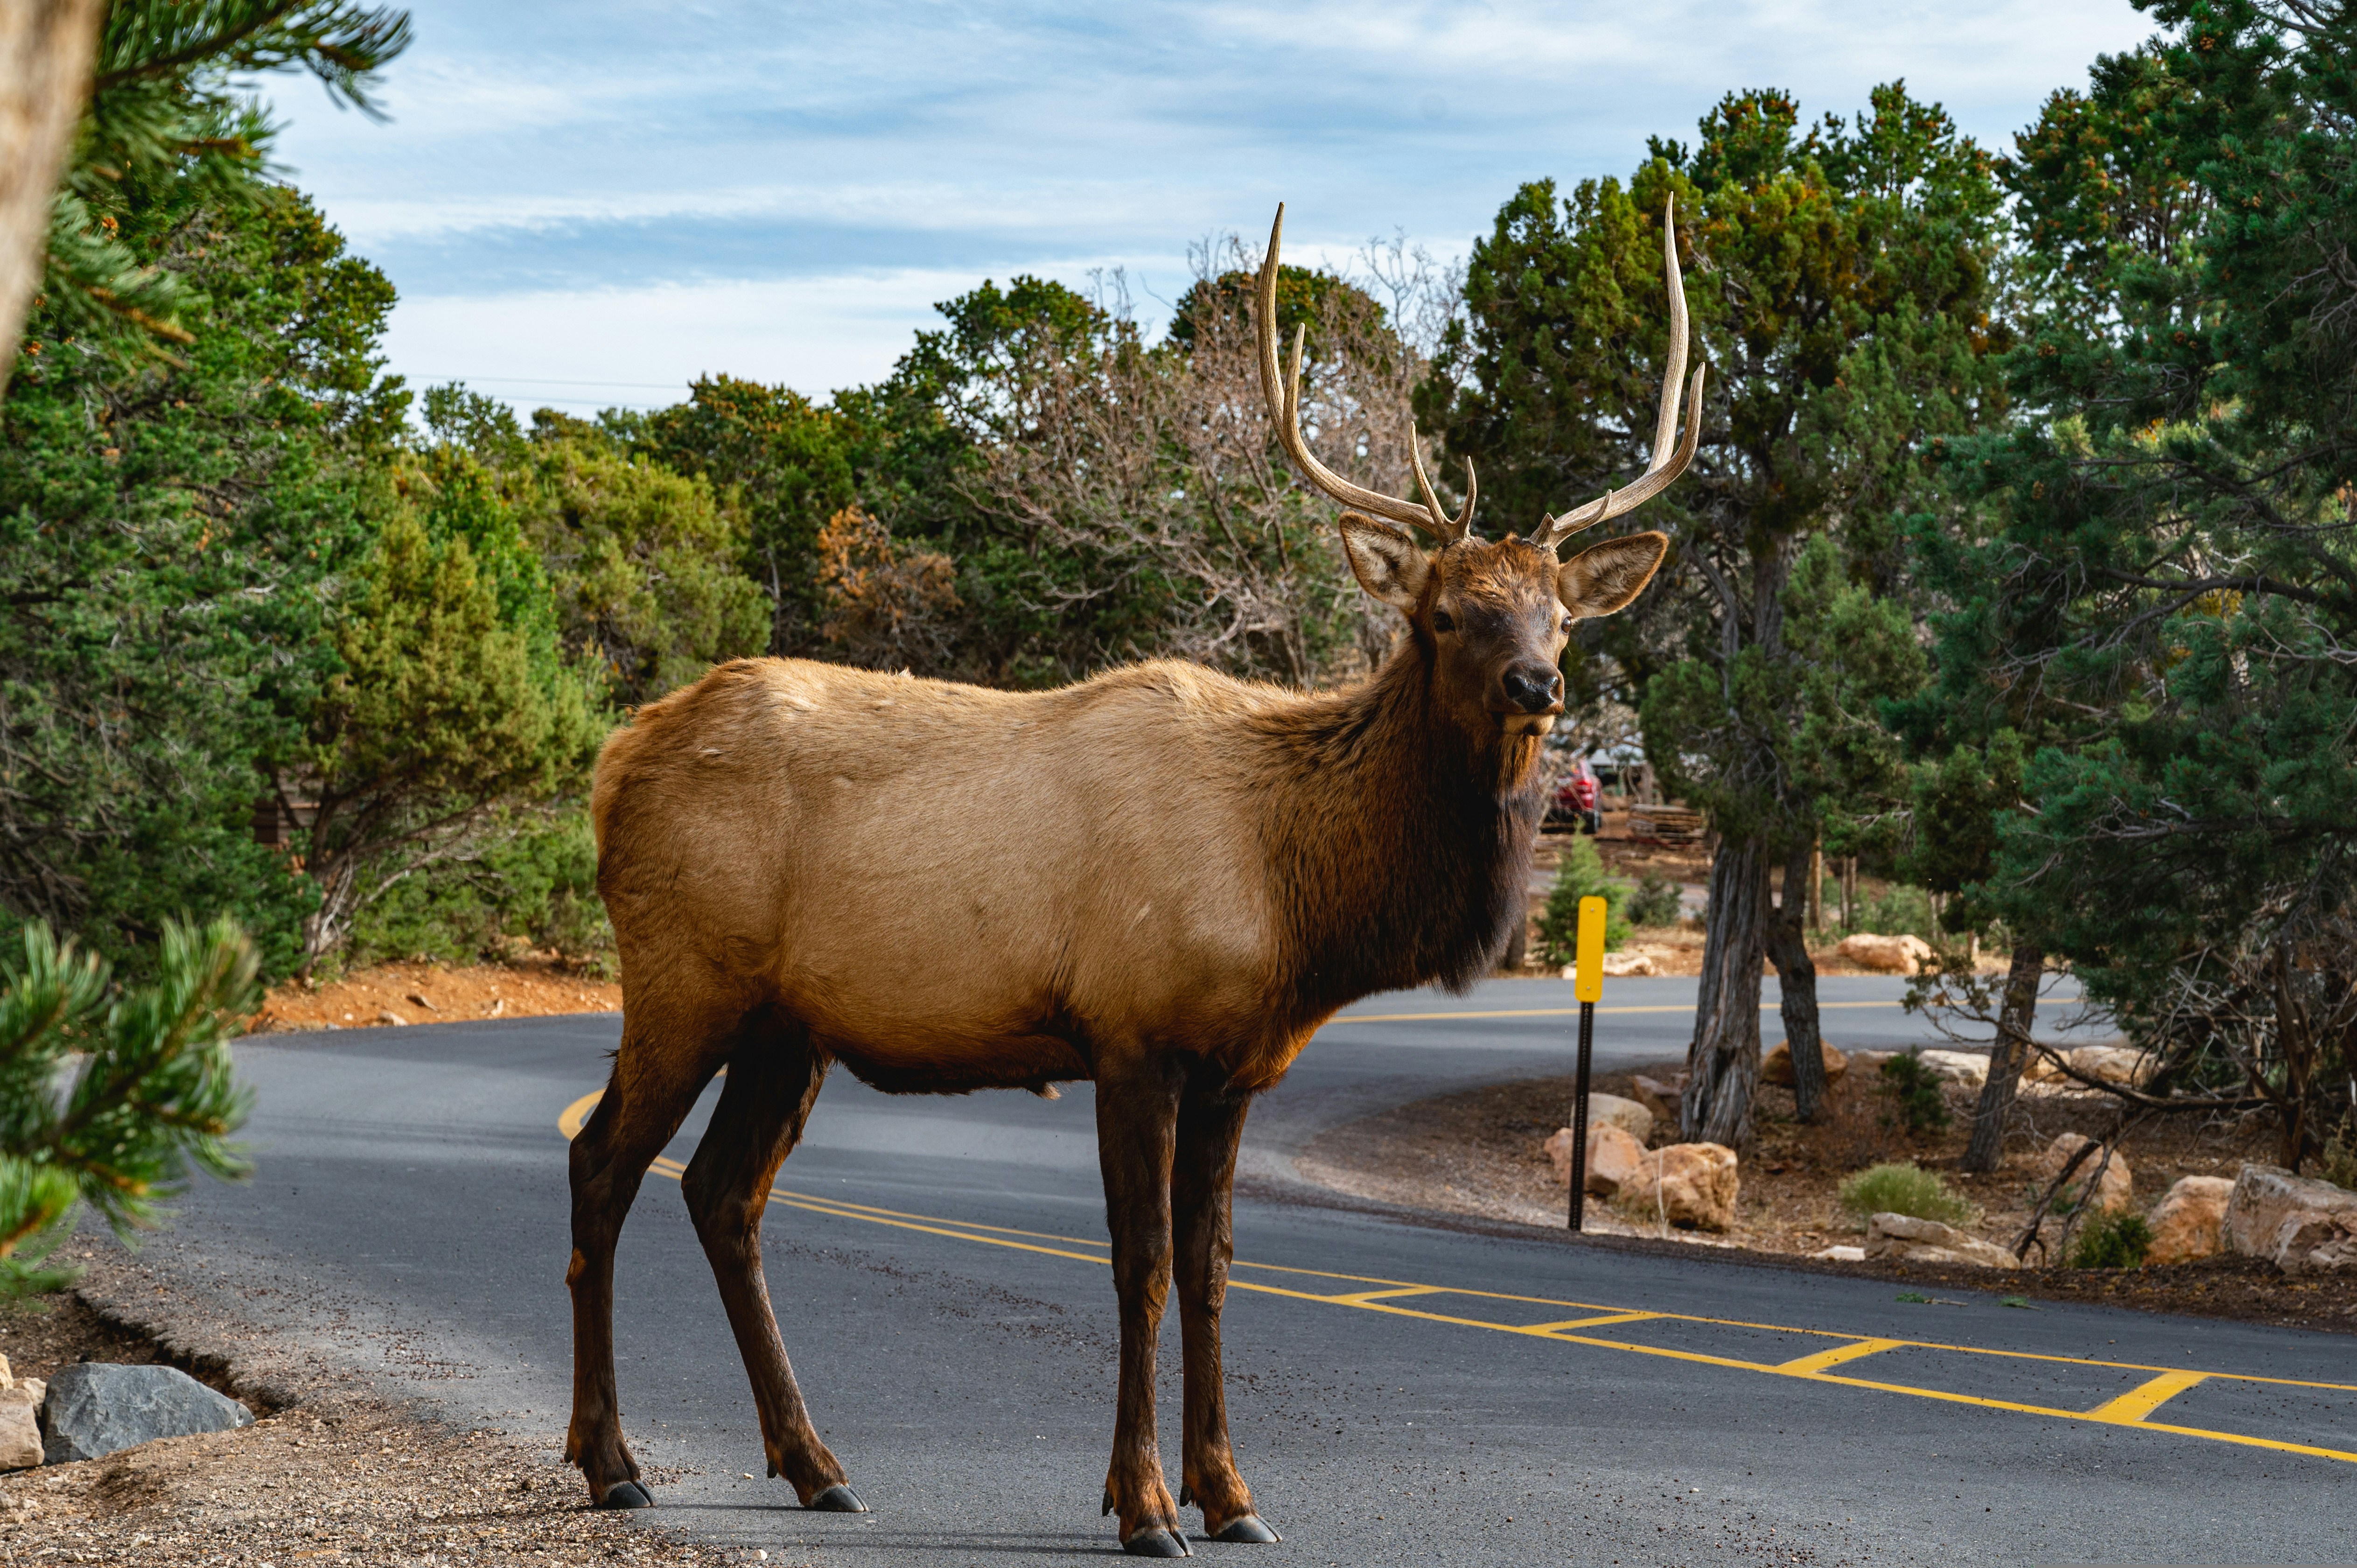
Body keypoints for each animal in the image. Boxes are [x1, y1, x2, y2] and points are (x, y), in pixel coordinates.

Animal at [566, 200, 1703, 1556]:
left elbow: (1210, 1269)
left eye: (1558, 614)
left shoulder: (1237, 1066)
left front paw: (1232, 1495)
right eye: (1440, 613)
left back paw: (814, 1462)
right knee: (602, 1166)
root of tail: (613, 763)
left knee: (721, 1195)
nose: (1540, 685)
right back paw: (611, 1464)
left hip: (787, 1026)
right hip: (681, 976)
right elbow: (1140, 1265)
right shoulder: (1131, 1031)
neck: (1297, 902)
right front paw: (1144, 1503)